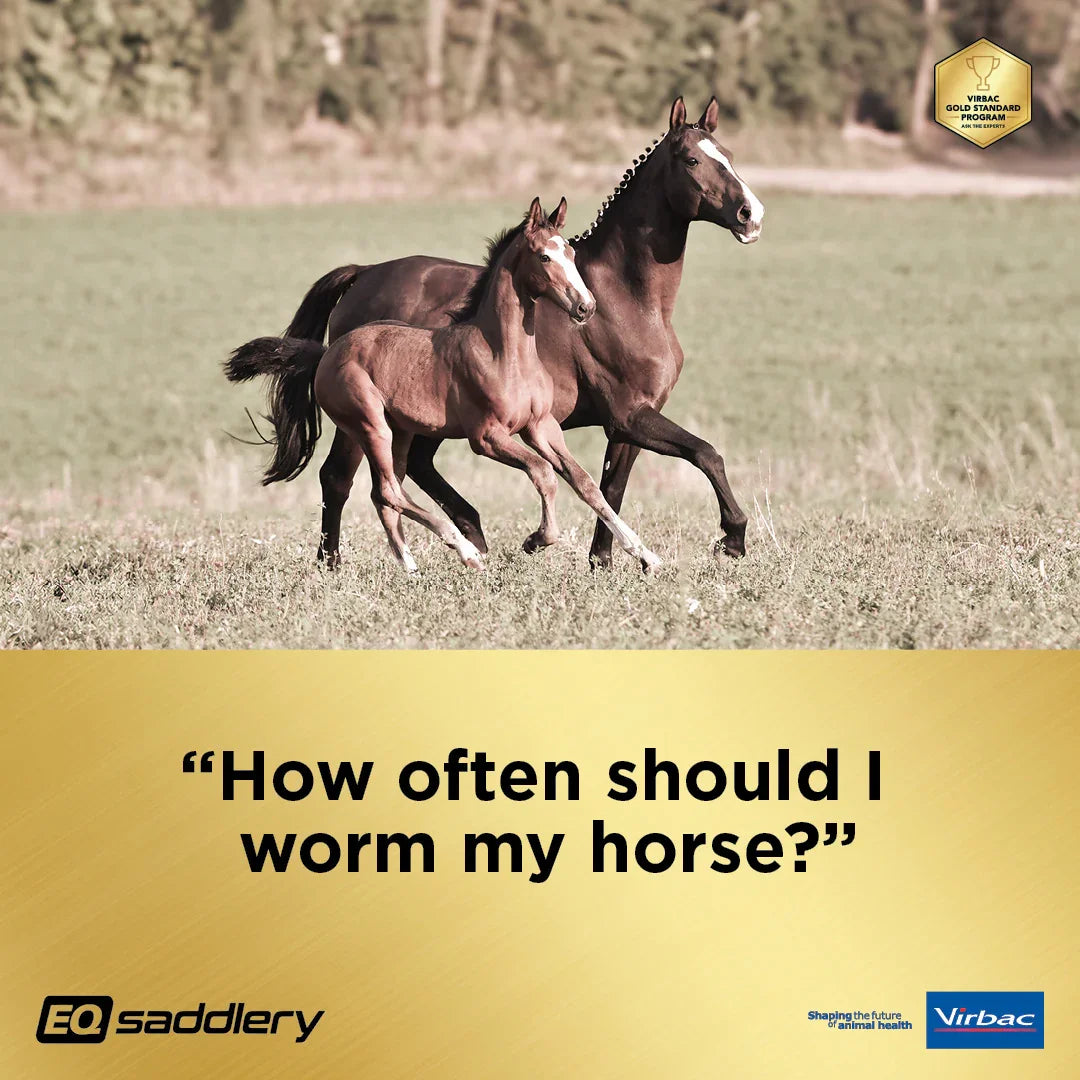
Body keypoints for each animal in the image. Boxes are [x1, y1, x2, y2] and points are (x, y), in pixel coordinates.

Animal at [225, 198, 662, 575]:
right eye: (544, 256)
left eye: (571, 254)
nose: (585, 307)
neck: (504, 353)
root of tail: (327, 353)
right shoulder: (487, 437)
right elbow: (543, 472)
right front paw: (536, 540)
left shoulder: (542, 427)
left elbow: (586, 484)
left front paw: (646, 555)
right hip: (371, 426)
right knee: (387, 491)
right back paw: (466, 553)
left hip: (400, 433)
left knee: (385, 495)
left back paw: (411, 567)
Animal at [281, 96, 764, 570]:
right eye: (691, 160)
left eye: (729, 154)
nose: (751, 215)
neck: (629, 299)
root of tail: (362, 274)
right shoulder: (629, 414)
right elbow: (706, 453)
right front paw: (733, 538)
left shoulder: (629, 423)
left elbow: (610, 487)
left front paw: (603, 561)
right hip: (368, 422)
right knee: (339, 478)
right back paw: (335, 563)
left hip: (417, 421)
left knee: (409, 469)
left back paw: (471, 536)